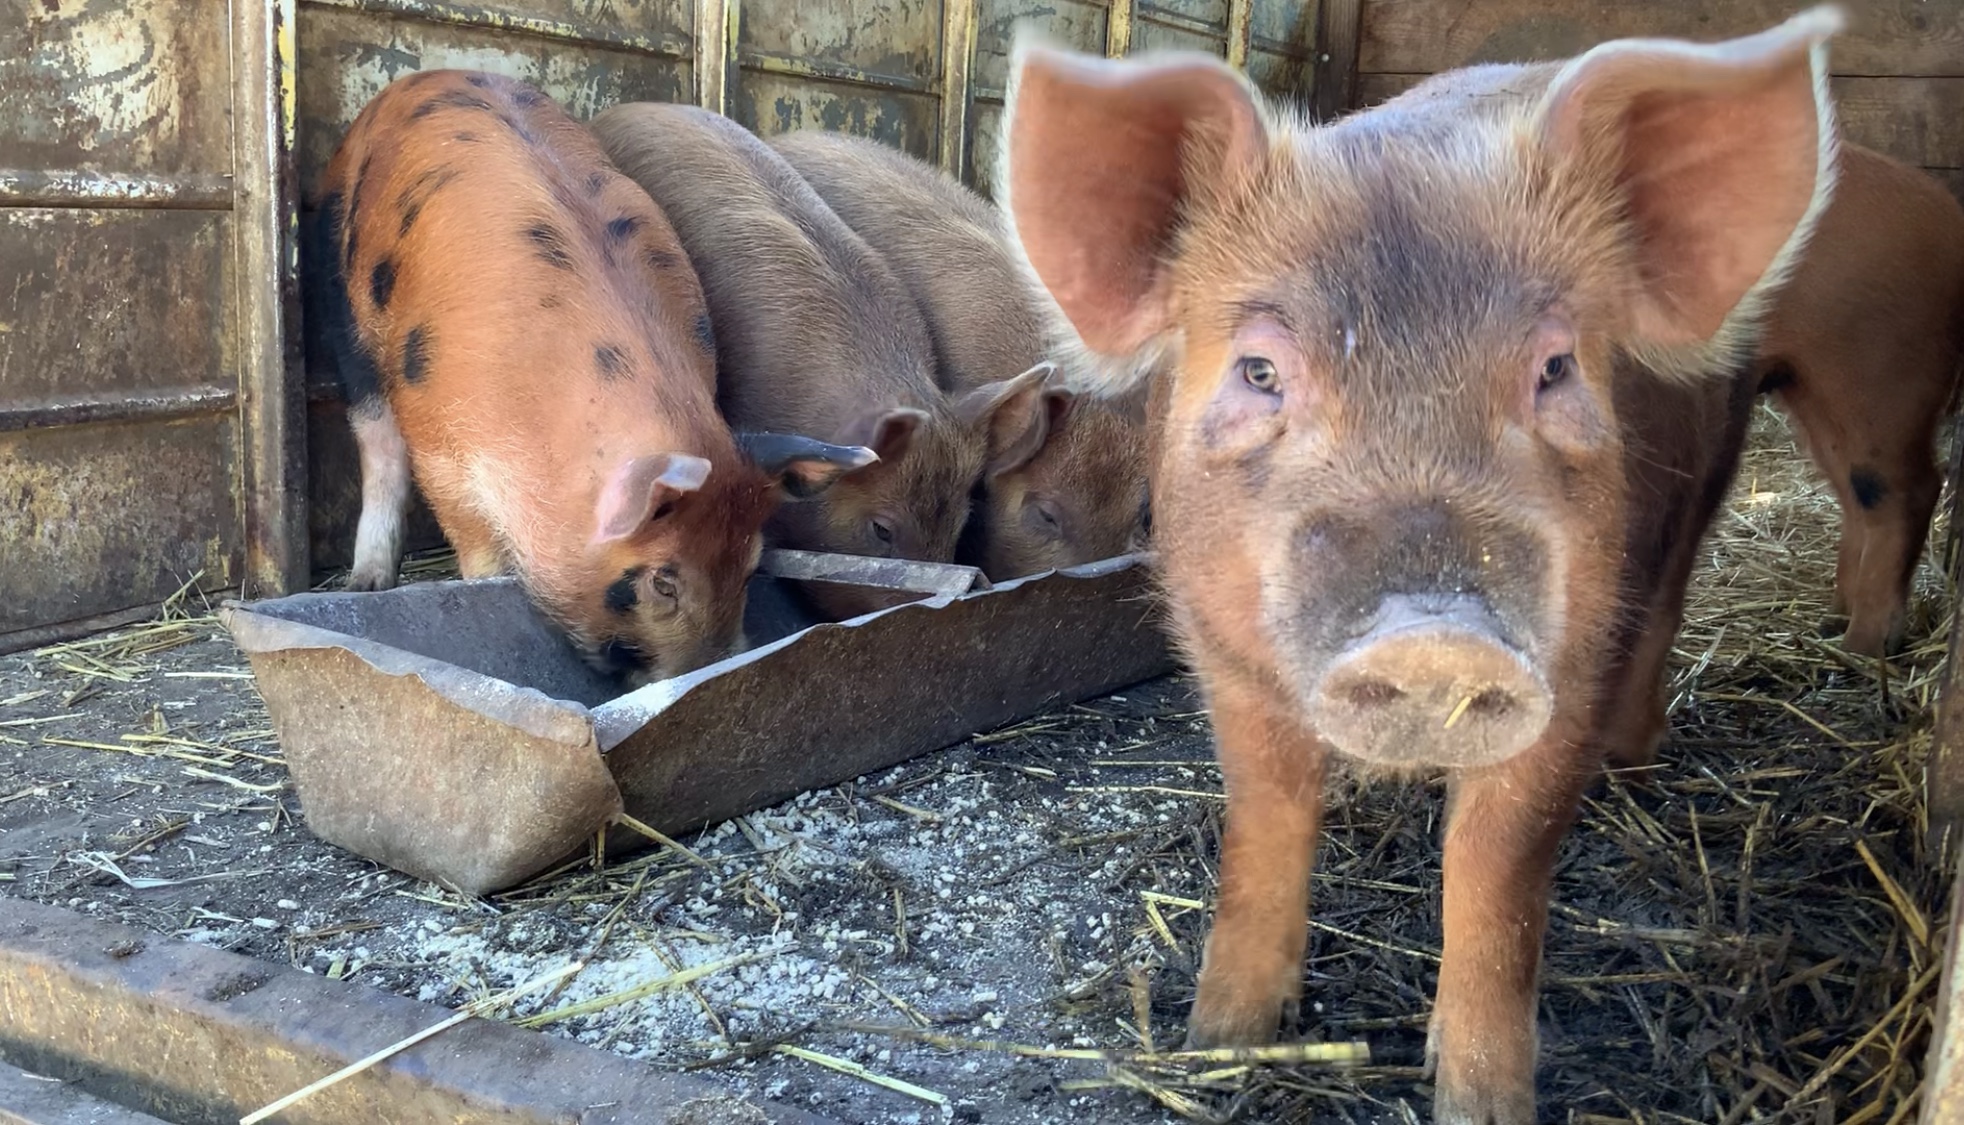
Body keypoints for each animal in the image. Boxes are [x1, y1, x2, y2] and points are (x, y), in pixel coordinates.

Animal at [306, 70, 873, 682]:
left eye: (747, 568)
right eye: (663, 581)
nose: (705, 669)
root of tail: (424, 77)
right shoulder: (436, 438)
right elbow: (473, 543)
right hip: (338, 288)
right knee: (375, 436)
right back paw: (367, 583)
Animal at [998, 10, 1841, 1123]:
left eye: (1554, 368)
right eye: (1259, 371)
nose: (1436, 633)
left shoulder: (1569, 660)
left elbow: (1496, 861)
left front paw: (1479, 1099)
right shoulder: (1219, 651)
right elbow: (1266, 815)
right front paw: (1218, 1044)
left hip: (1700, 493)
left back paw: (1632, 760)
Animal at [1750, 141, 1964, 658]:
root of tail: (1948, 213)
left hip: (1877, 372)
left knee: (1904, 488)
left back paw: (1860, 647)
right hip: (1808, 383)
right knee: (1854, 492)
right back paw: (1832, 623)